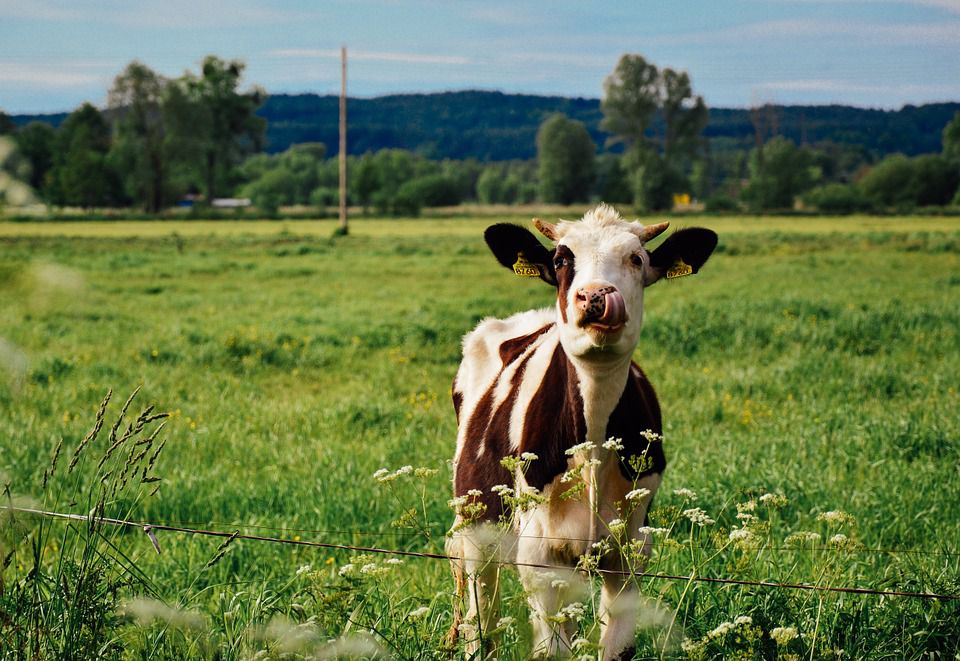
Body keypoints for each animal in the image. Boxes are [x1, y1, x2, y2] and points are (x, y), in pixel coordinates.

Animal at [446, 204, 717, 659]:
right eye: (560, 259)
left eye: (636, 258)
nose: (594, 296)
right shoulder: (541, 557)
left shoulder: (629, 553)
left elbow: (617, 645)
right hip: (476, 530)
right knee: (481, 622)